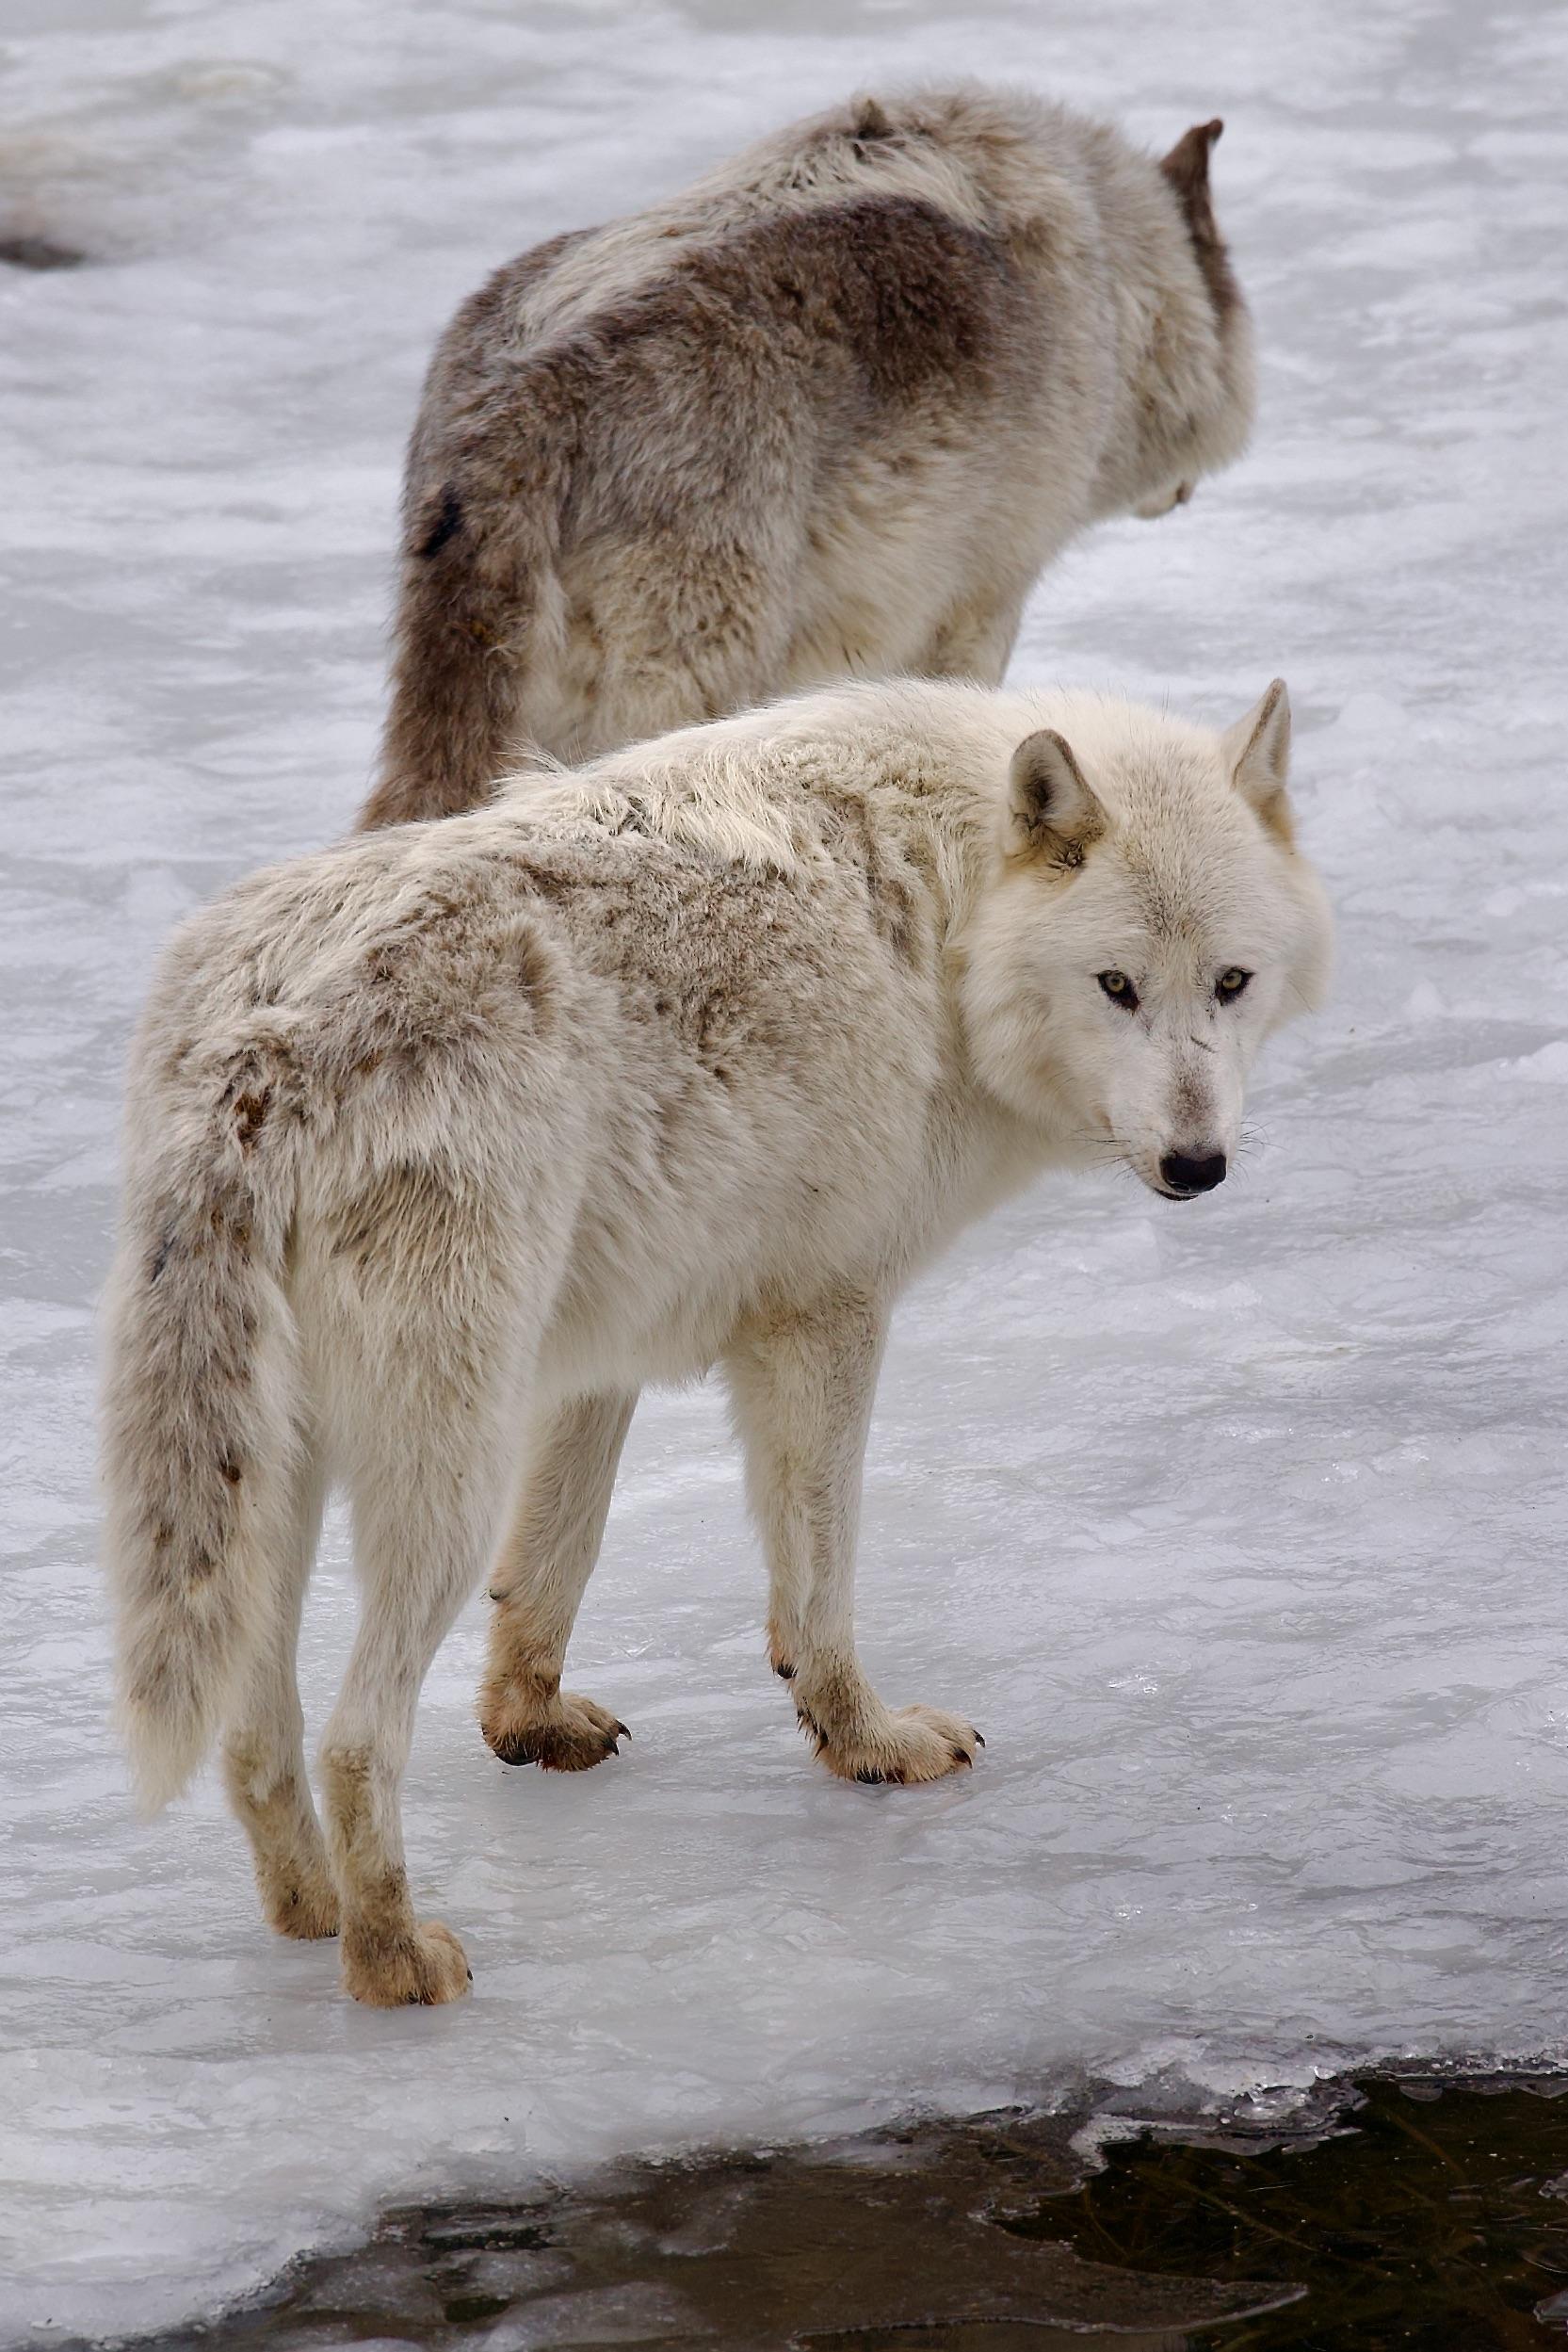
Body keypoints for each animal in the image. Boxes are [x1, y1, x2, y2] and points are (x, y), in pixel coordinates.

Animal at [102, 676, 1330, 2005]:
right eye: (1116, 986)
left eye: (1230, 983)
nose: (1197, 1166)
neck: (939, 919)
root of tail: (258, 1051)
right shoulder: (829, 1310)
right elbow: (822, 1585)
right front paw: (867, 1742)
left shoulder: (604, 1345)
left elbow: (557, 1563)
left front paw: (528, 1724)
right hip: (438, 1475)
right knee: (353, 1736)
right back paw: (389, 1956)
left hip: (278, 1481)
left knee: (254, 1736)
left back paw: (308, 1910)